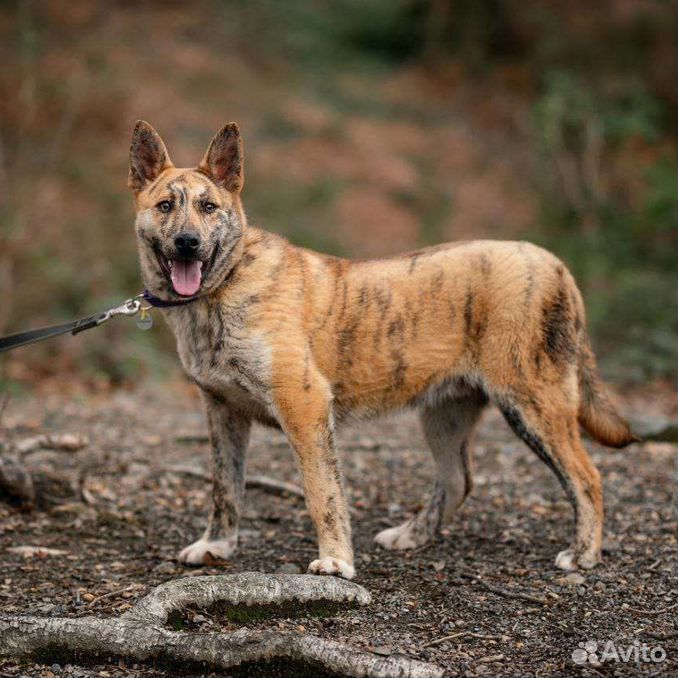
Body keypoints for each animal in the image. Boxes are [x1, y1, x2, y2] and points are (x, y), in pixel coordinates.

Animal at [130, 121, 640, 580]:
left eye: (209, 207)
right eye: (165, 206)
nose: (188, 244)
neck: (225, 286)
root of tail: (554, 263)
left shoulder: (305, 406)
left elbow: (322, 493)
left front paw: (336, 562)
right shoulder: (223, 412)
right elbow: (225, 488)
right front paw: (216, 545)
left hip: (533, 405)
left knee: (588, 478)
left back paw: (584, 555)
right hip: (444, 415)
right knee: (457, 481)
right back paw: (411, 535)